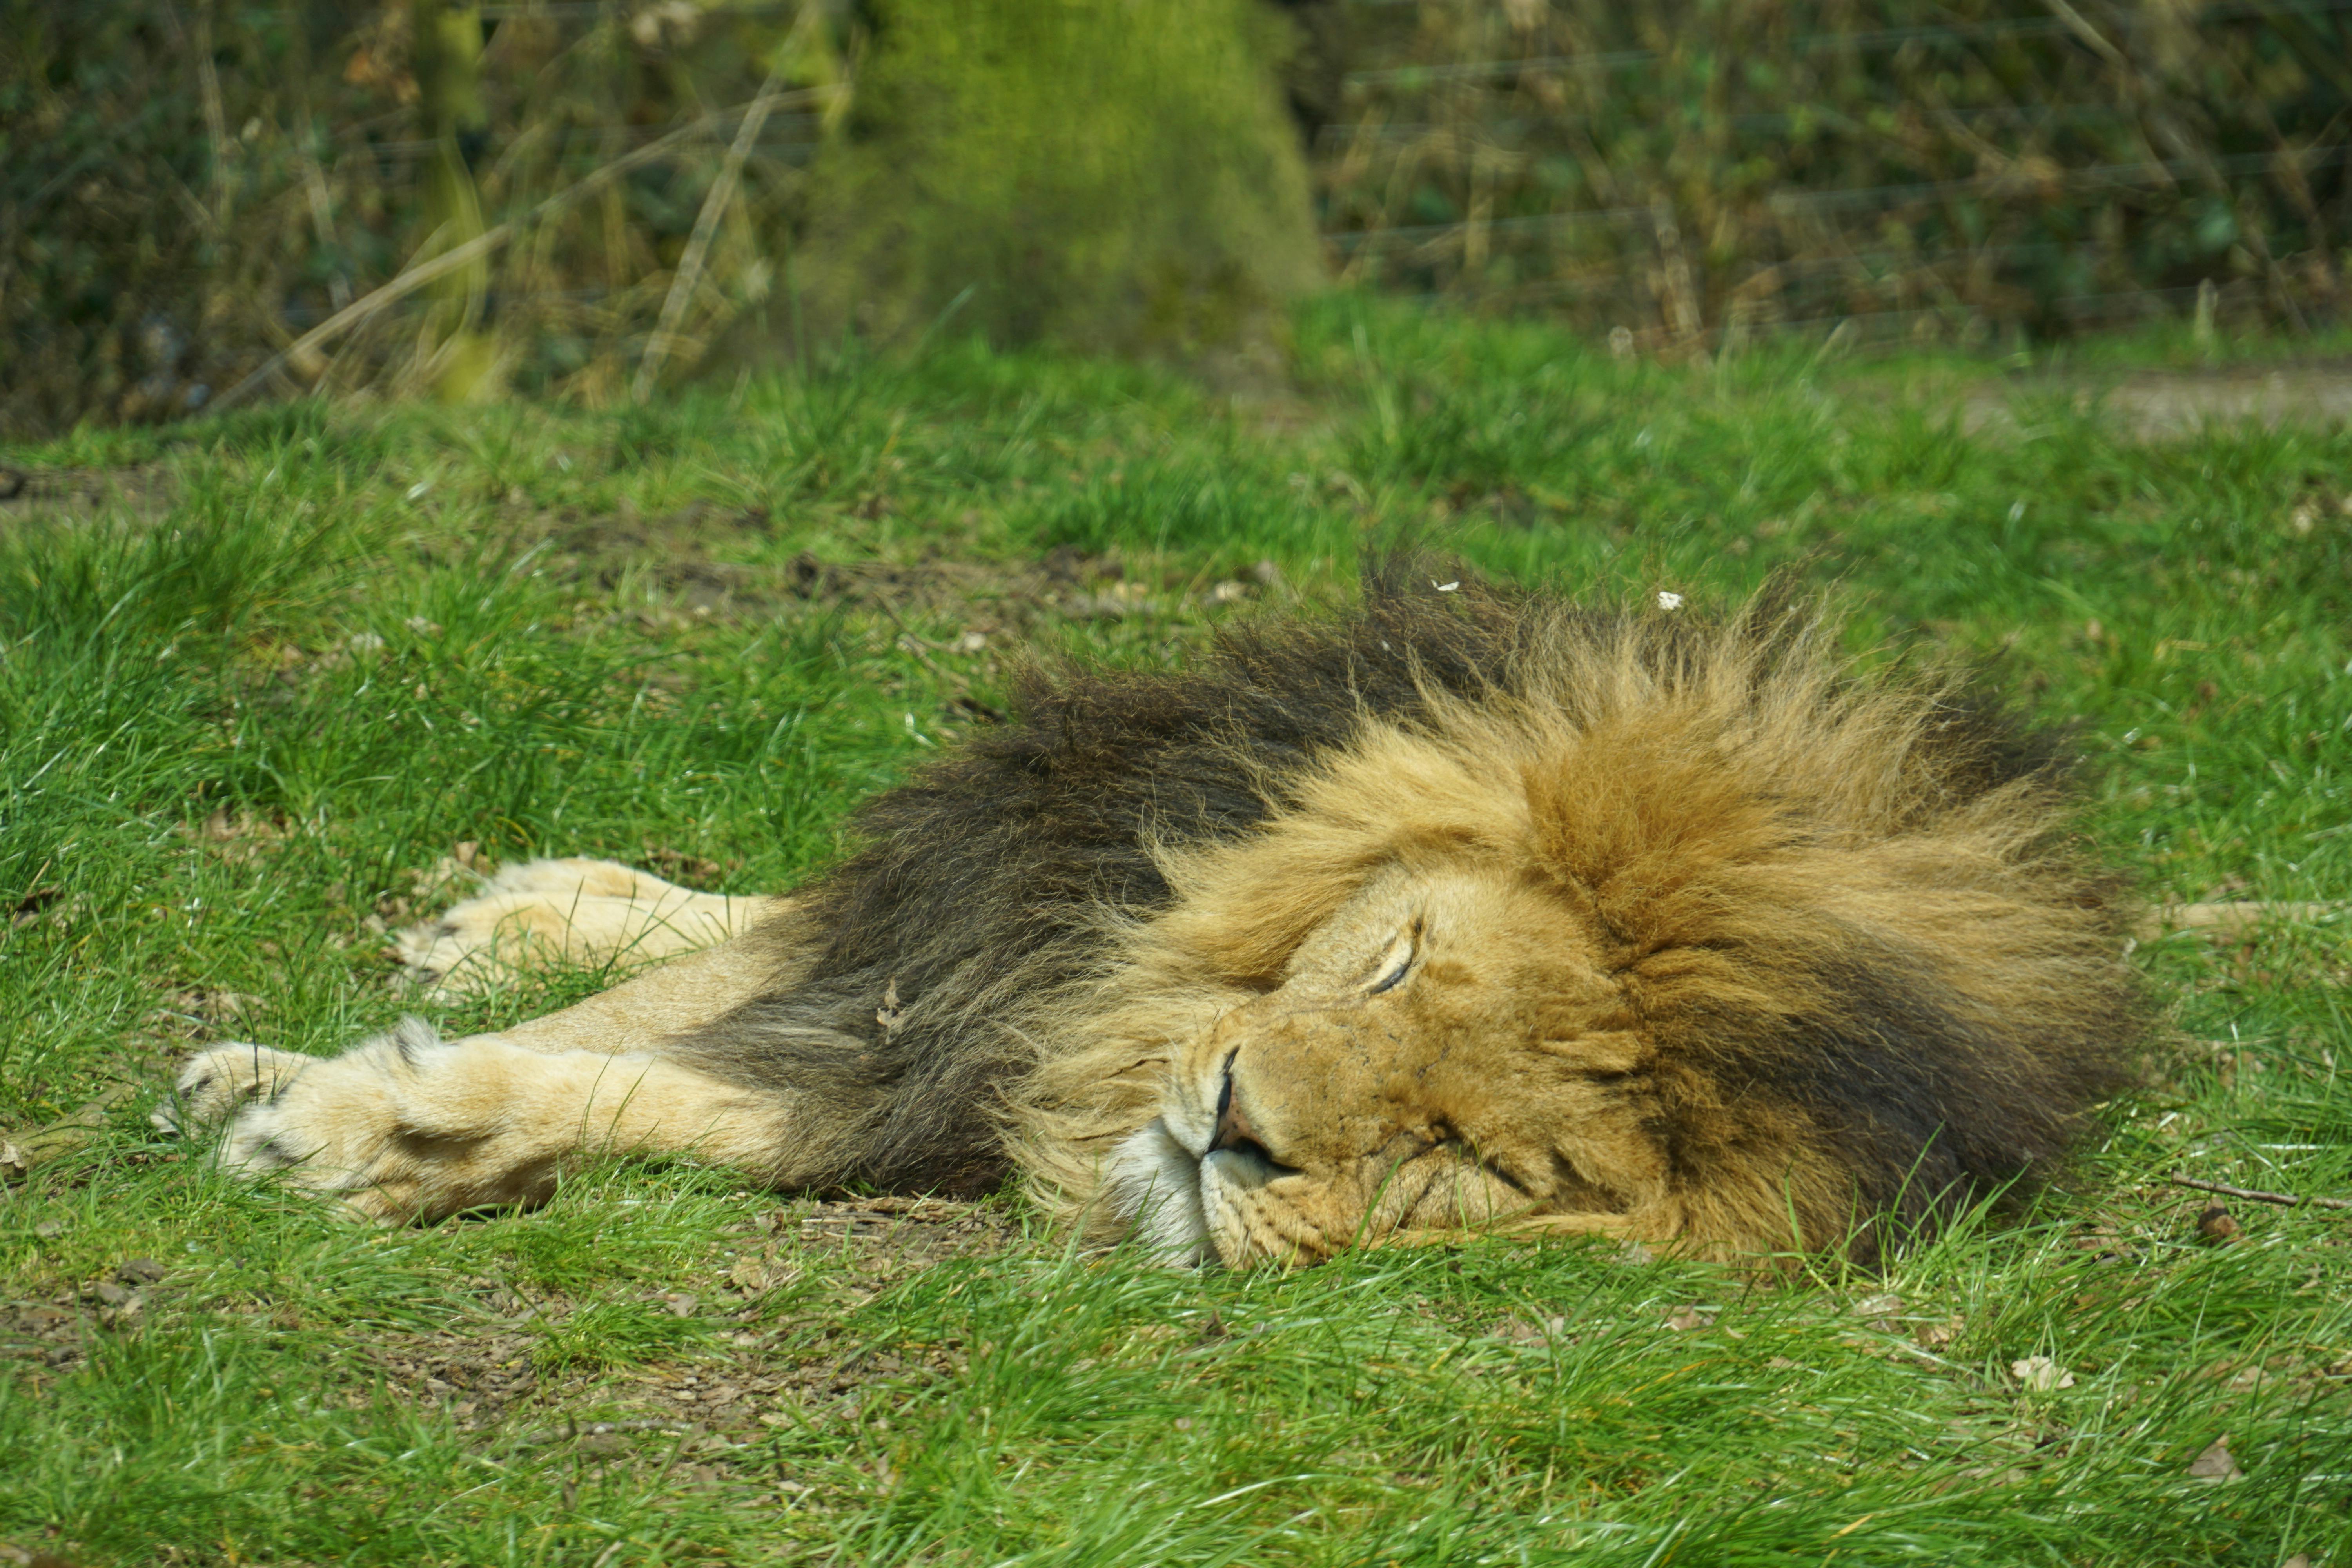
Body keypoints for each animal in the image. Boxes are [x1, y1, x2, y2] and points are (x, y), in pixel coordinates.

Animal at [159, 571, 2147, 1267]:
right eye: (1394, 957)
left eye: (1480, 1159)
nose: (1235, 1130)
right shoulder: (998, 917)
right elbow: (674, 1008)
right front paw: (324, 1078)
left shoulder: (942, 1050)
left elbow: (682, 1085)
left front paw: (389, 1124)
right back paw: (509, 918)